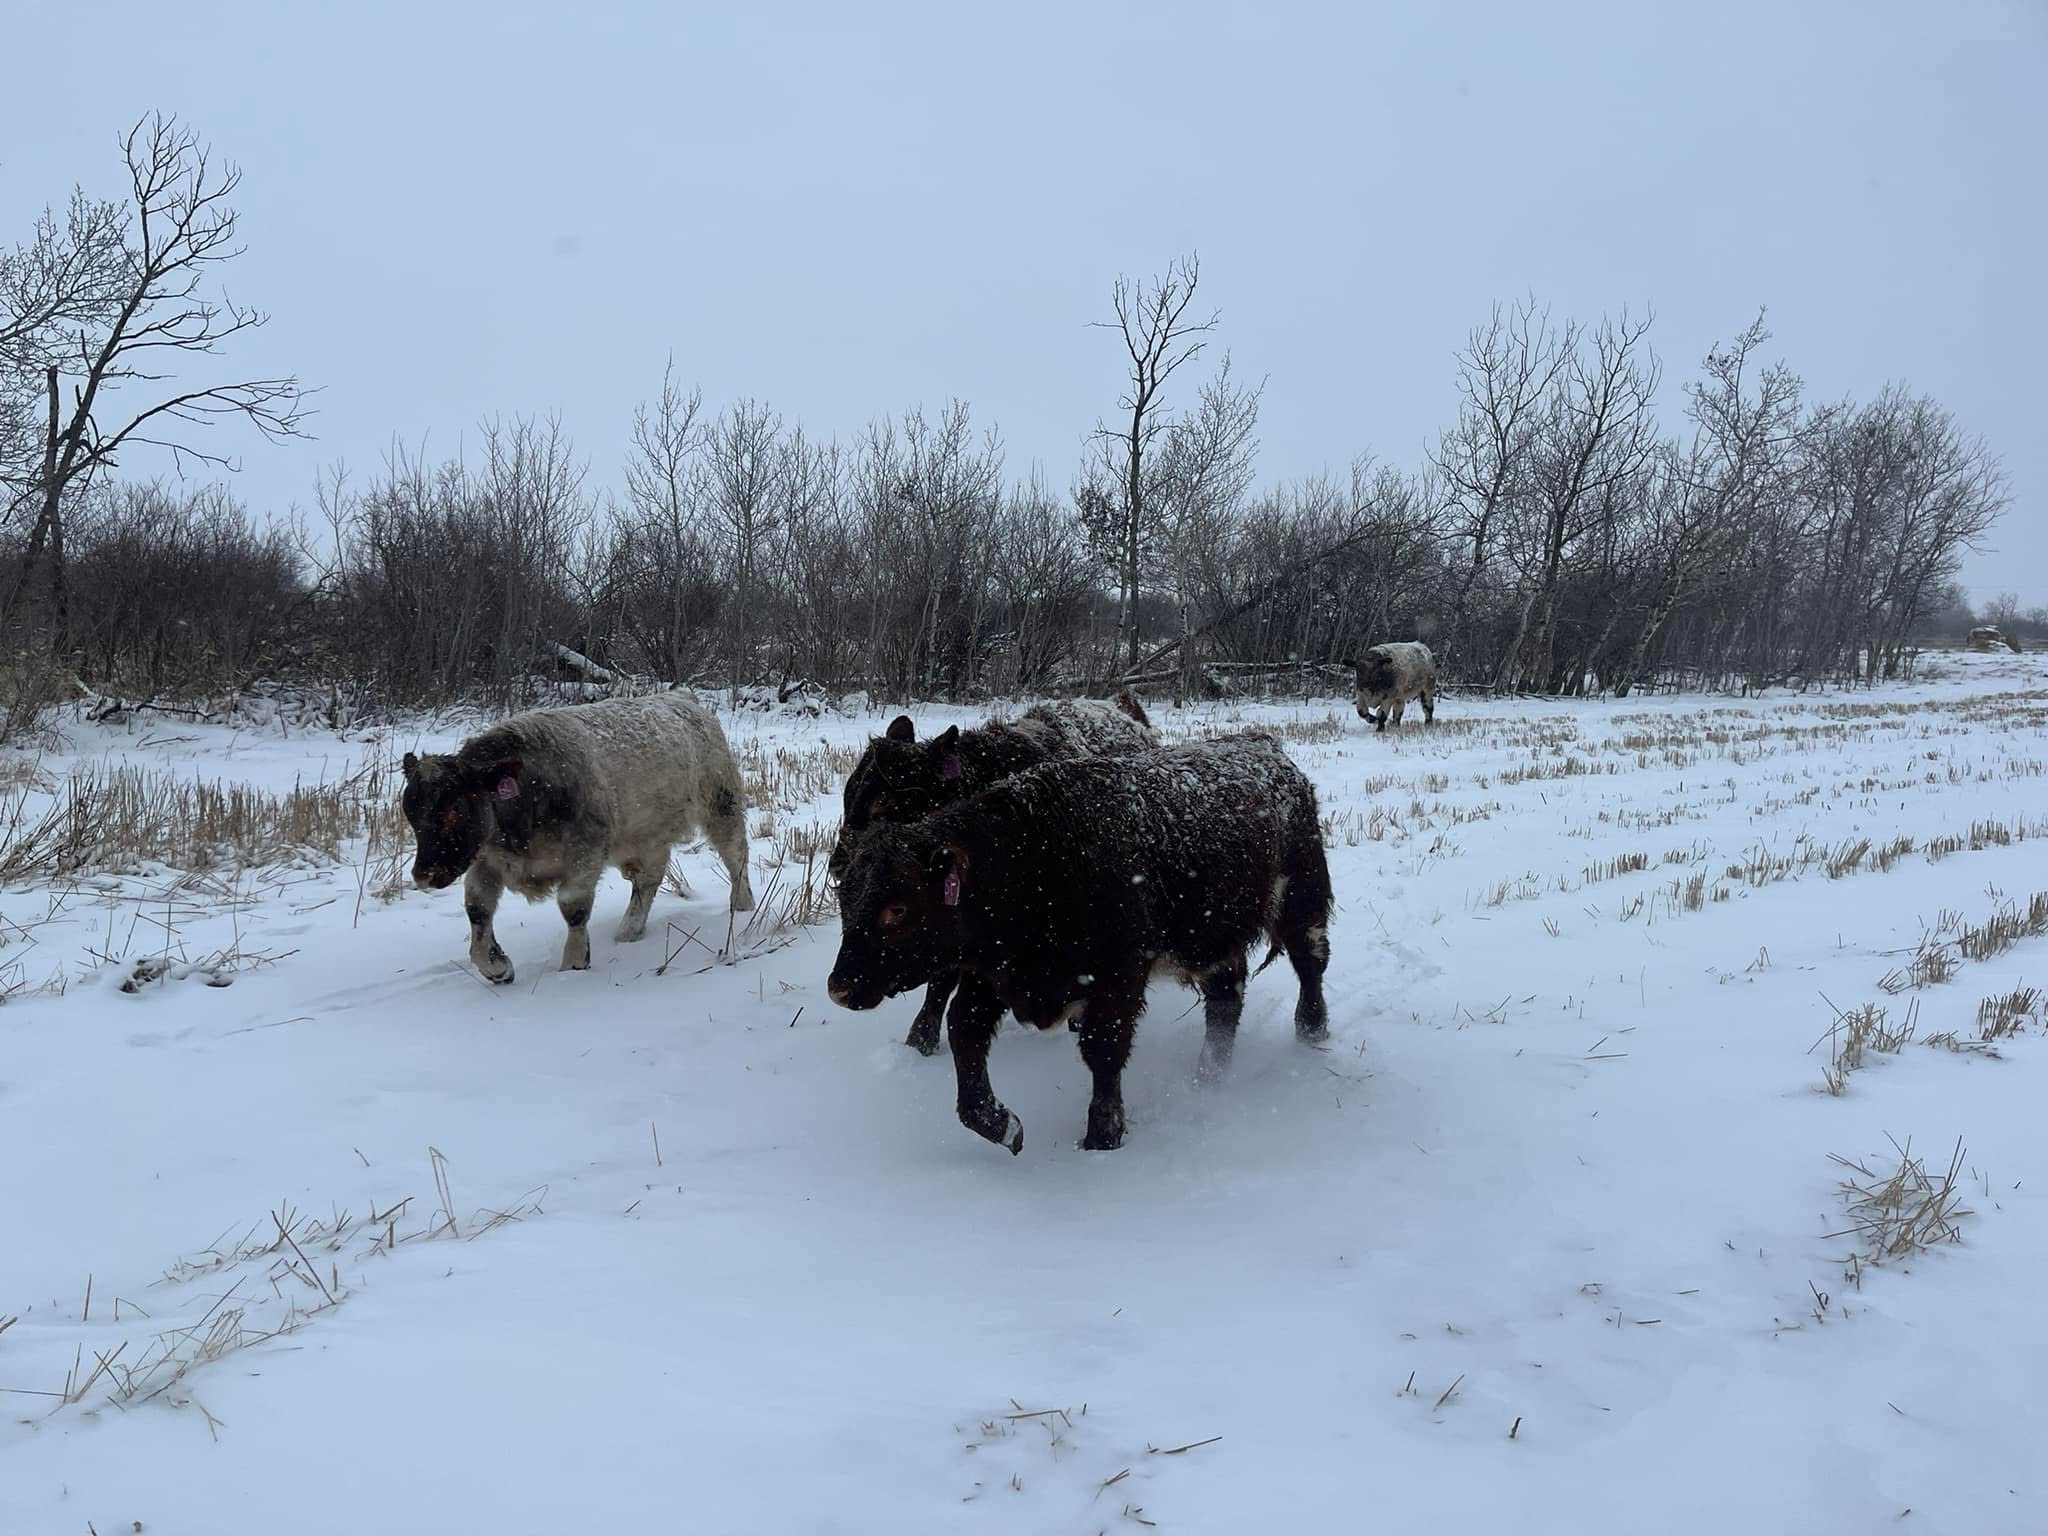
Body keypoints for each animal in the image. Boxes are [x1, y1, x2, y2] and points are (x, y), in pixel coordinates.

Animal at [400, 691, 754, 983]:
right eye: (410, 814)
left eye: (454, 809)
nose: (423, 875)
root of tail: (681, 698)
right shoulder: (486, 859)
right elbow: (477, 908)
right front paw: (496, 966)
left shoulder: (586, 853)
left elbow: (573, 907)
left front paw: (573, 967)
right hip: (647, 833)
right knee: (649, 879)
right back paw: (630, 929)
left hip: (721, 804)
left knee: (736, 855)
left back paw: (743, 904)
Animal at [826, 732, 1333, 1153]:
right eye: (846, 898)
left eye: (897, 909)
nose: (839, 988)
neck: (1032, 860)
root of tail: (1267, 749)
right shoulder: (995, 975)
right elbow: (963, 1033)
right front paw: (1003, 1125)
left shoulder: (1117, 980)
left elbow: (1102, 1051)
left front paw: (1102, 1137)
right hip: (1214, 941)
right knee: (1226, 998)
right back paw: (1209, 1077)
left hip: (1301, 904)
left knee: (1309, 965)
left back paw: (1310, 1032)